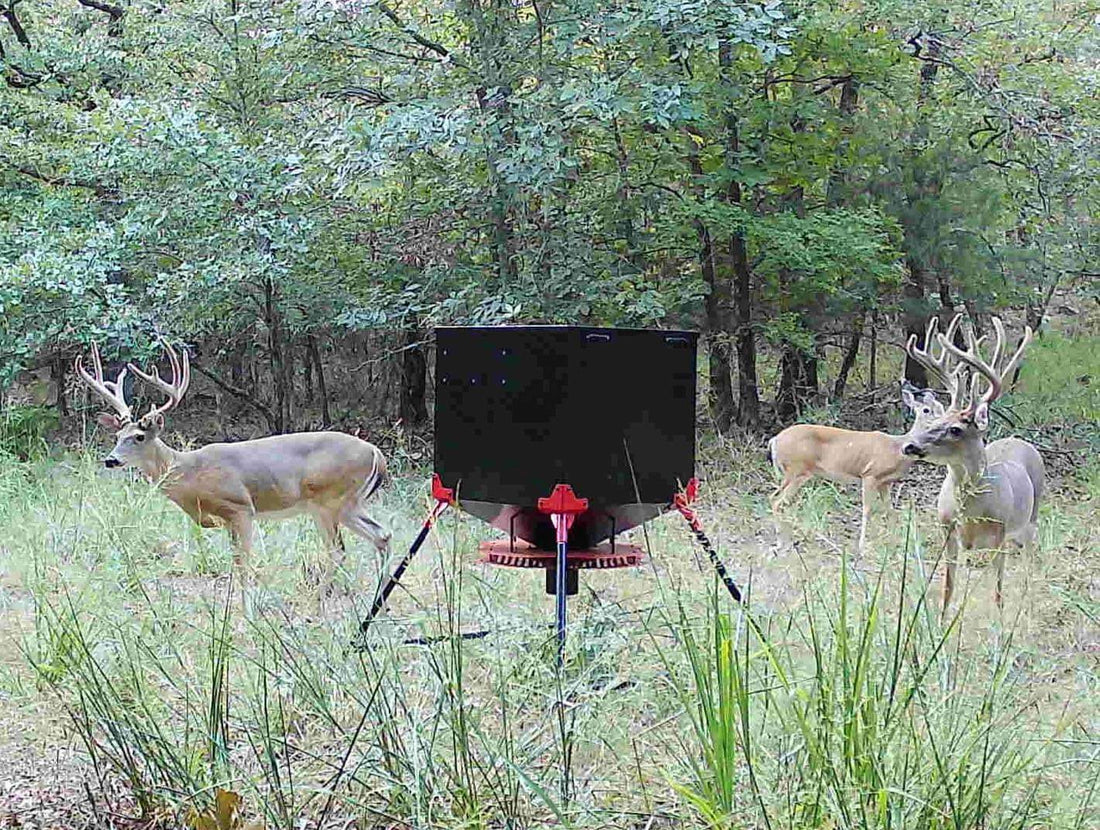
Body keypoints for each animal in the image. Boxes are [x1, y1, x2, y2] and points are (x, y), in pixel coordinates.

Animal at [75, 340, 391, 600]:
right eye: (118, 436)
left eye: (139, 437)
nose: (111, 460)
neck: (190, 473)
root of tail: (376, 453)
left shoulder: (240, 508)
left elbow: (243, 565)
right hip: (346, 504)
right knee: (382, 535)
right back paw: (380, 600)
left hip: (328, 499)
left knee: (338, 551)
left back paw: (319, 599)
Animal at [767, 378, 947, 552]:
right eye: (926, 410)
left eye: (941, 407)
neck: (897, 448)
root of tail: (774, 440)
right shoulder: (870, 475)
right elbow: (867, 510)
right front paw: (862, 547)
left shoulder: (884, 482)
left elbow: (890, 511)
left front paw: (895, 544)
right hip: (795, 470)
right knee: (776, 500)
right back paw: (782, 544)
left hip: (794, 473)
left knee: (779, 501)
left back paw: (786, 542)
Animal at [902, 313, 1044, 614]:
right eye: (933, 420)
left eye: (955, 429)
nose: (909, 445)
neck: (970, 512)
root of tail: (1017, 439)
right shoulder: (947, 531)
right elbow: (948, 588)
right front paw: (942, 620)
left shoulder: (998, 535)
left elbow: (998, 593)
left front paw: (999, 622)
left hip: (1031, 517)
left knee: (1029, 561)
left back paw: (1027, 603)